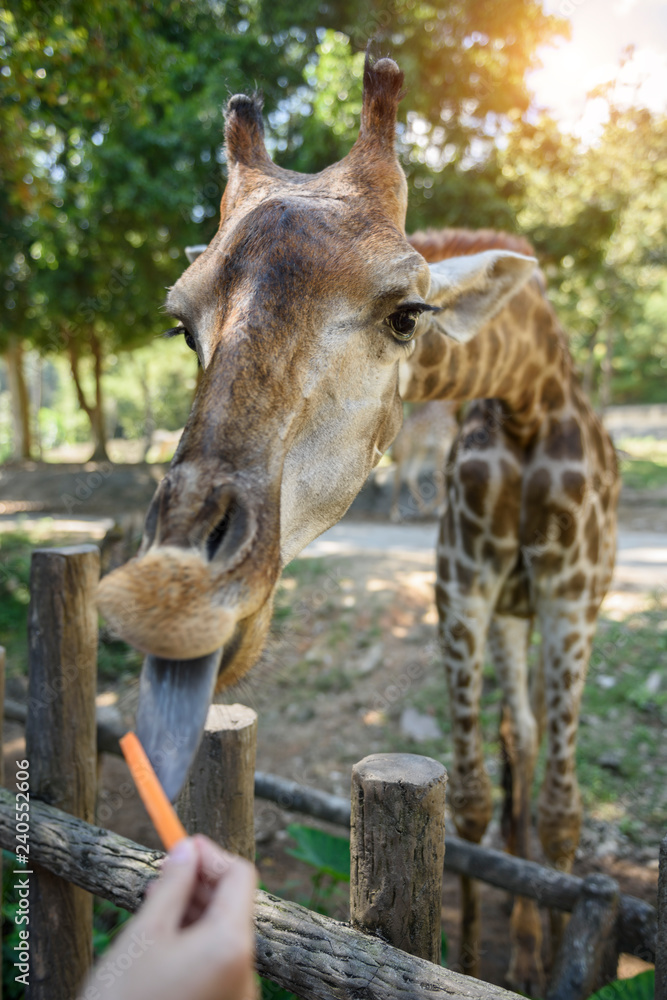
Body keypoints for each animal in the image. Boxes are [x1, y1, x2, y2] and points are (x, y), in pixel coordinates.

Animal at [96, 54, 619, 987]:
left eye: (406, 314)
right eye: (181, 323)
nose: (166, 596)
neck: (527, 401)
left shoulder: (568, 605)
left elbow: (562, 811)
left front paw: (533, 959)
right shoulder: (461, 596)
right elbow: (474, 798)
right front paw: (482, 956)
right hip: (507, 616)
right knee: (516, 737)